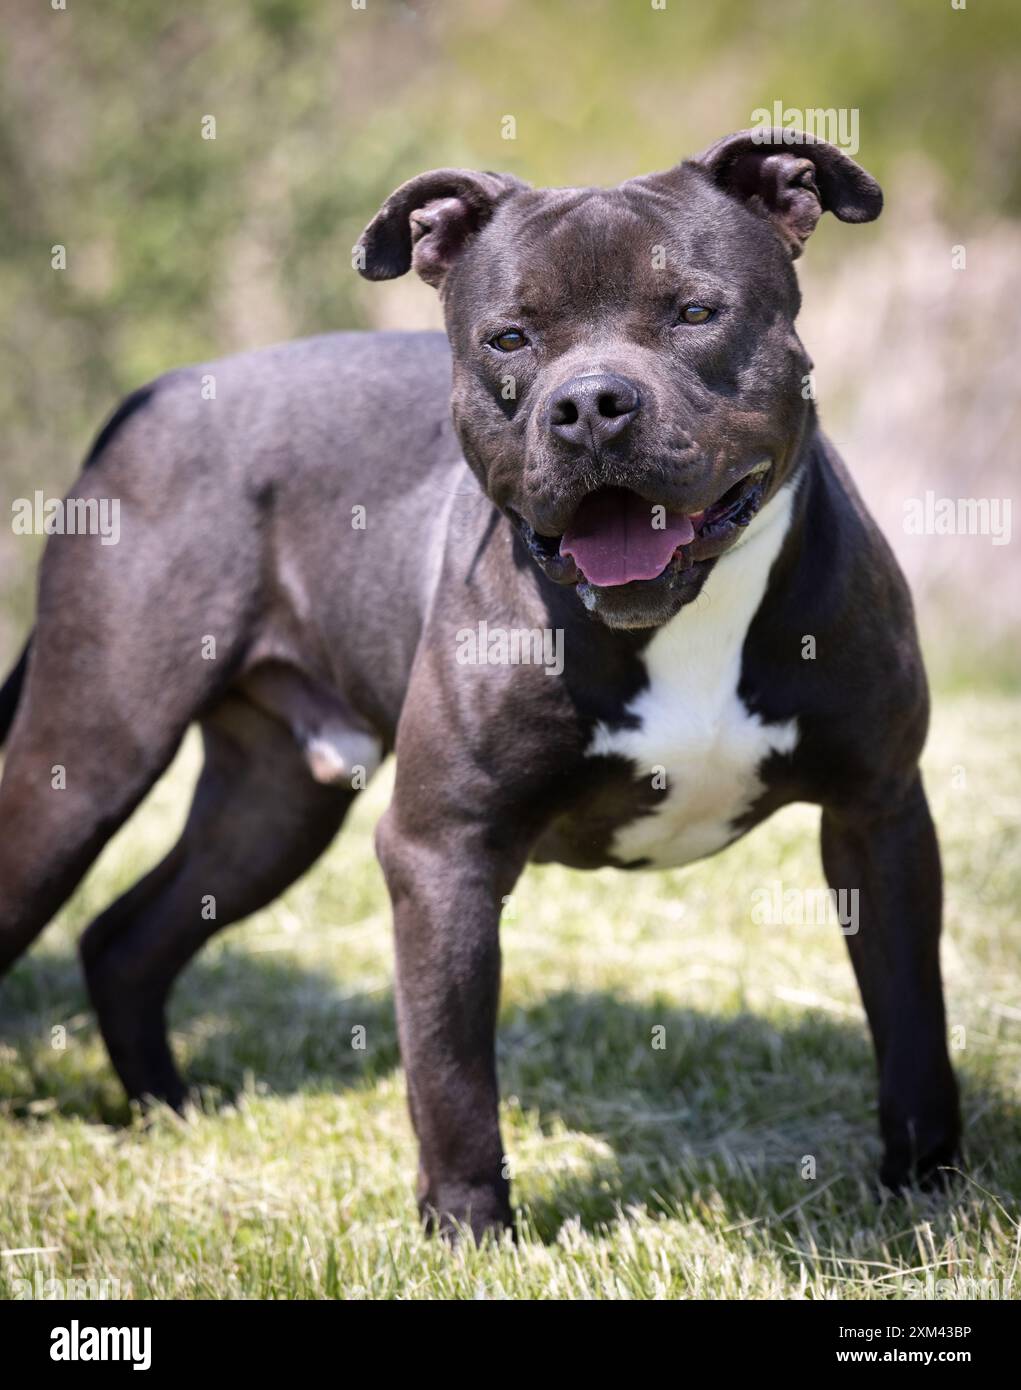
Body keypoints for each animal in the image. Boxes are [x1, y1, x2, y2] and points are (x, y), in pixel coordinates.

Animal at [0, 129, 960, 1238]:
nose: (589, 405)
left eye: (694, 313)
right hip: (84, 761)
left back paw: (172, 1114)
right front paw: (466, 1230)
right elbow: (451, 1065)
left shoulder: (876, 814)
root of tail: (145, 402)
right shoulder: (442, 849)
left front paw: (930, 1192)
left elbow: (913, 1024)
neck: (682, 615)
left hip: (270, 808)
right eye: (508, 339)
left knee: (126, 938)